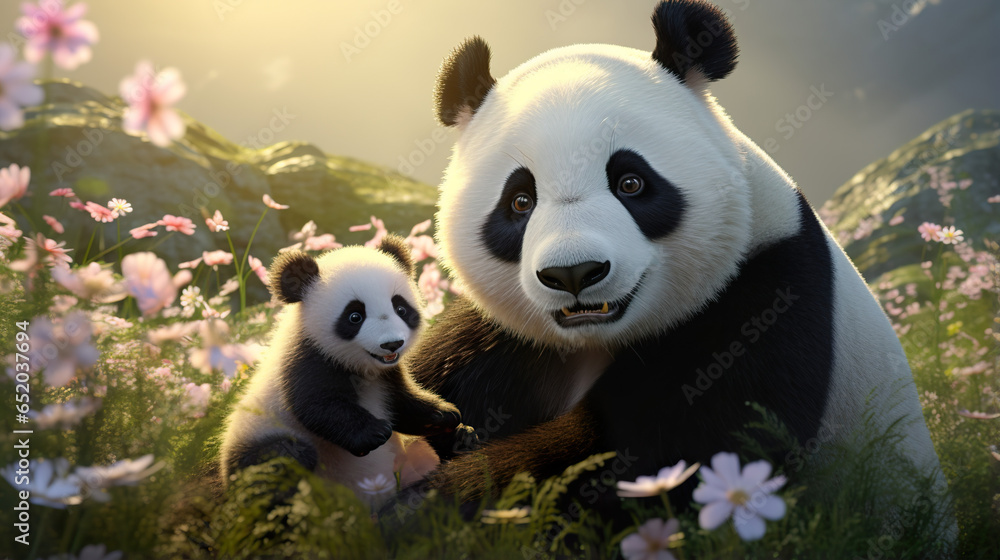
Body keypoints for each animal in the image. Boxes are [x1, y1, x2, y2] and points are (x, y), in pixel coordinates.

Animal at [220, 234, 465, 503]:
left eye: (400, 308)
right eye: (355, 316)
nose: (392, 344)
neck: (361, 368)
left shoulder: (387, 374)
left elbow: (403, 404)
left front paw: (444, 415)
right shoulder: (305, 359)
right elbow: (316, 405)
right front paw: (374, 432)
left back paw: (462, 440)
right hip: (255, 442)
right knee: (280, 459)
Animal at [406, 0, 951, 531]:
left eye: (631, 182)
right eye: (520, 201)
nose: (574, 274)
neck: (595, 341)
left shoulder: (764, 303)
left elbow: (645, 464)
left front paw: (428, 507)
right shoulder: (501, 342)